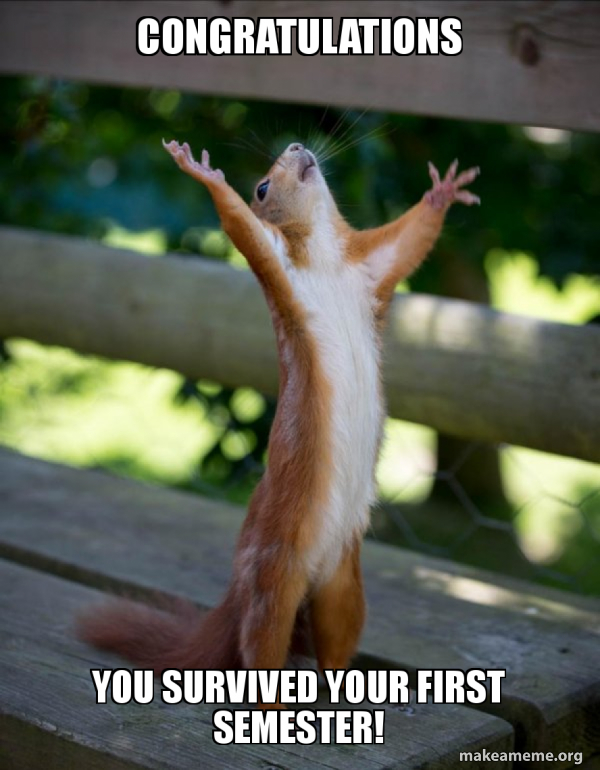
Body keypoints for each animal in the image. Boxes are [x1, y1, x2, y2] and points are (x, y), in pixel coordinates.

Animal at [78, 139, 479, 705]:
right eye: (262, 187)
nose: (296, 146)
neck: (327, 260)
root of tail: (240, 590)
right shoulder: (277, 265)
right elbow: (240, 226)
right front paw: (203, 173)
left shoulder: (372, 267)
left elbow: (411, 239)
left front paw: (442, 192)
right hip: (273, 580)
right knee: (261, 650)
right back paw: (274, 703)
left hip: (344, 587)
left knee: (337, 640)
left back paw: (345, 688)